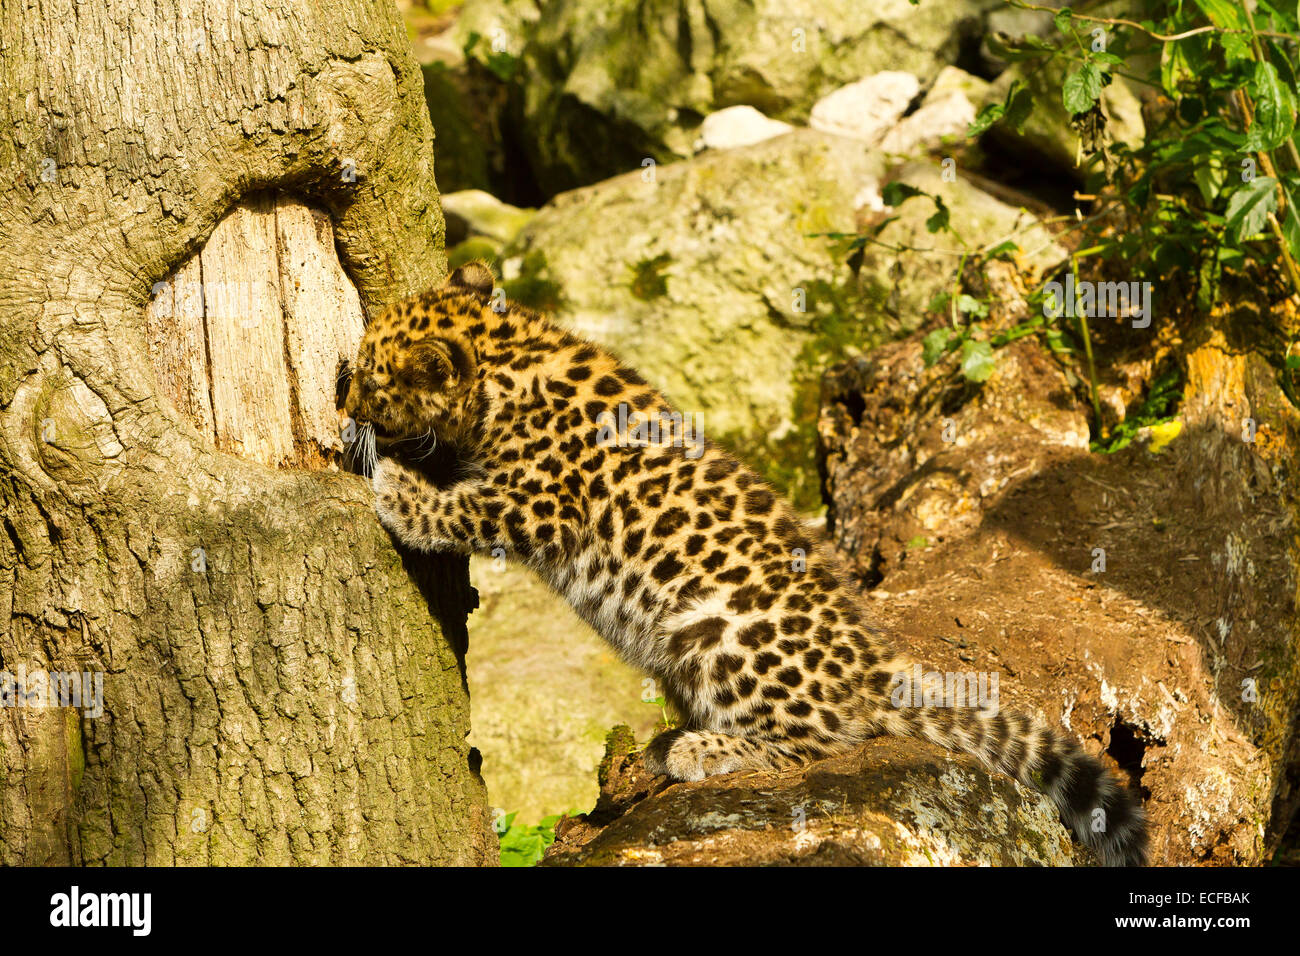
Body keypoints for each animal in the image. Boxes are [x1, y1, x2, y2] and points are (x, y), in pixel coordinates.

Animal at [340, 261, 1148, 866]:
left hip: (721, 631)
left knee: (814, 747)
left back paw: (695, 750)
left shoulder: (541, 503)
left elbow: (463, 511)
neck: (508, 355)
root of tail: (872, 676)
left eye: (371, 381)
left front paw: (396, 488)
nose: (341, 402)